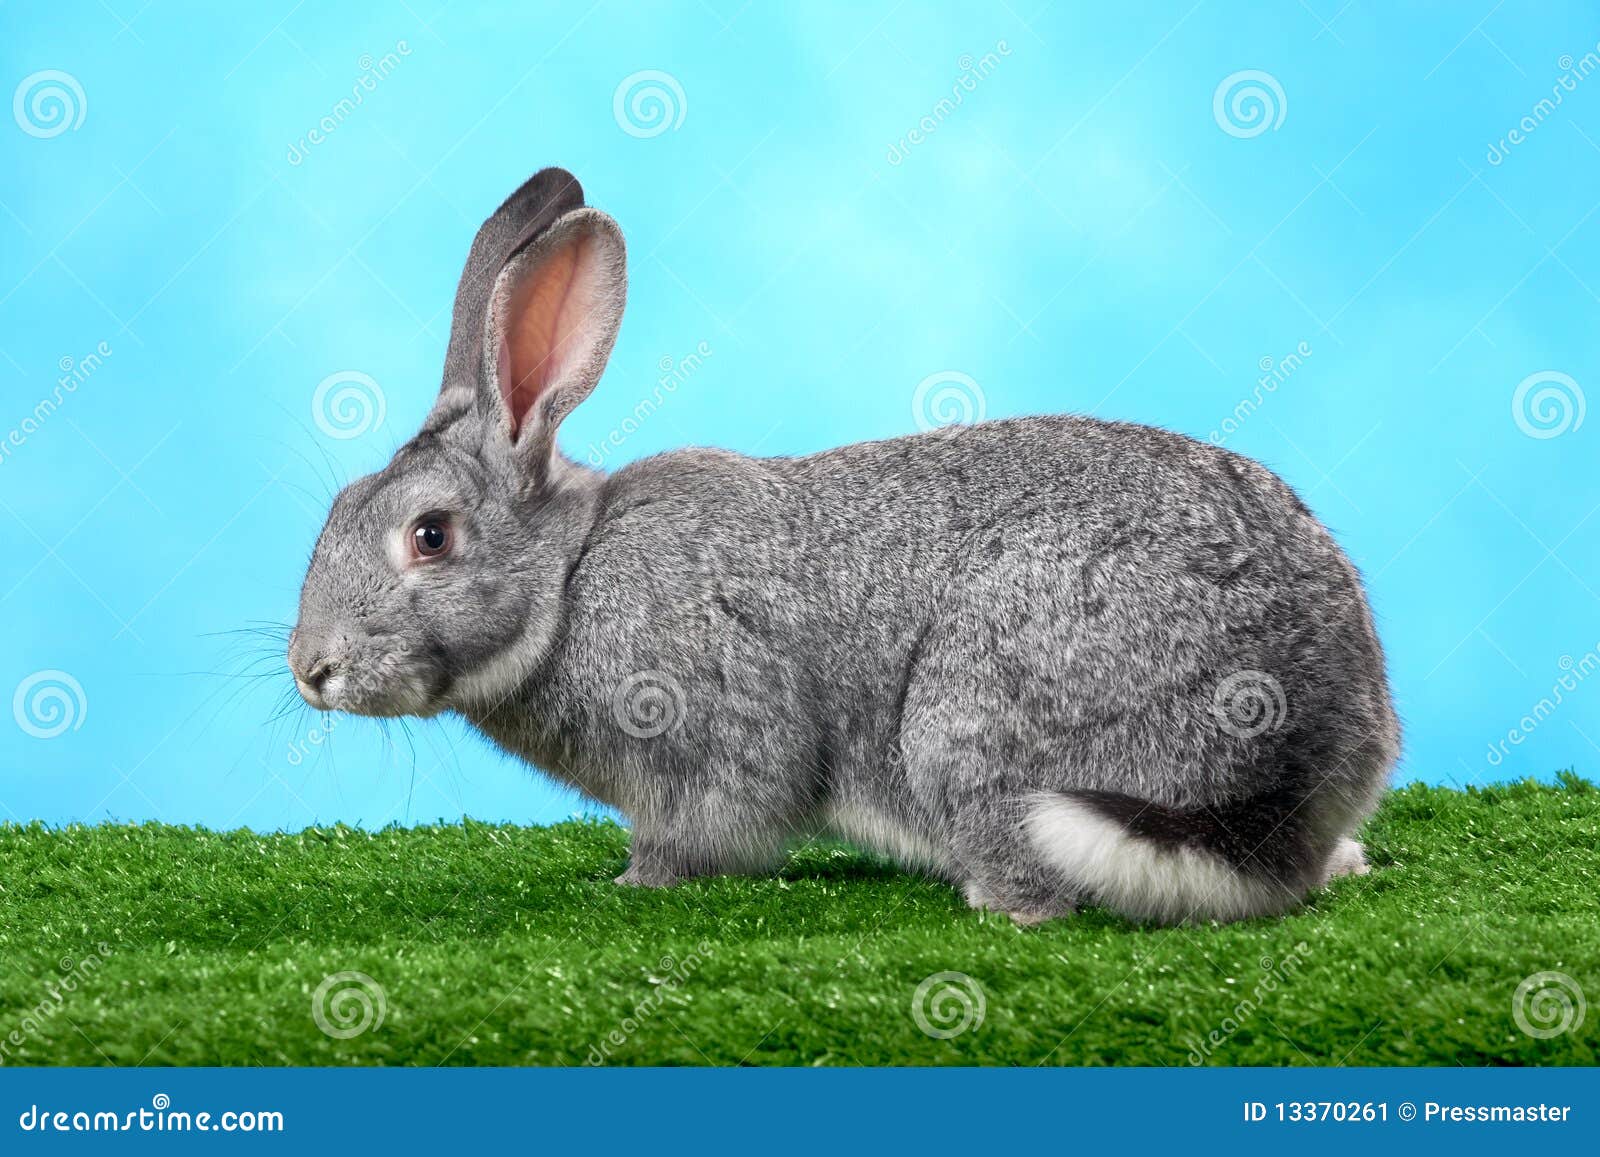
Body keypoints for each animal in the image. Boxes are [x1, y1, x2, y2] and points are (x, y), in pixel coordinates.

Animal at [290, 166, 1398, 926]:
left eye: (430, 536)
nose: (312, 669)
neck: (567, 578)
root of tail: (1285, 760)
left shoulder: (712, 737)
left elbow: (708, 827)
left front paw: (638, 879)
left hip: (970, 720)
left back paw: (998, 900)